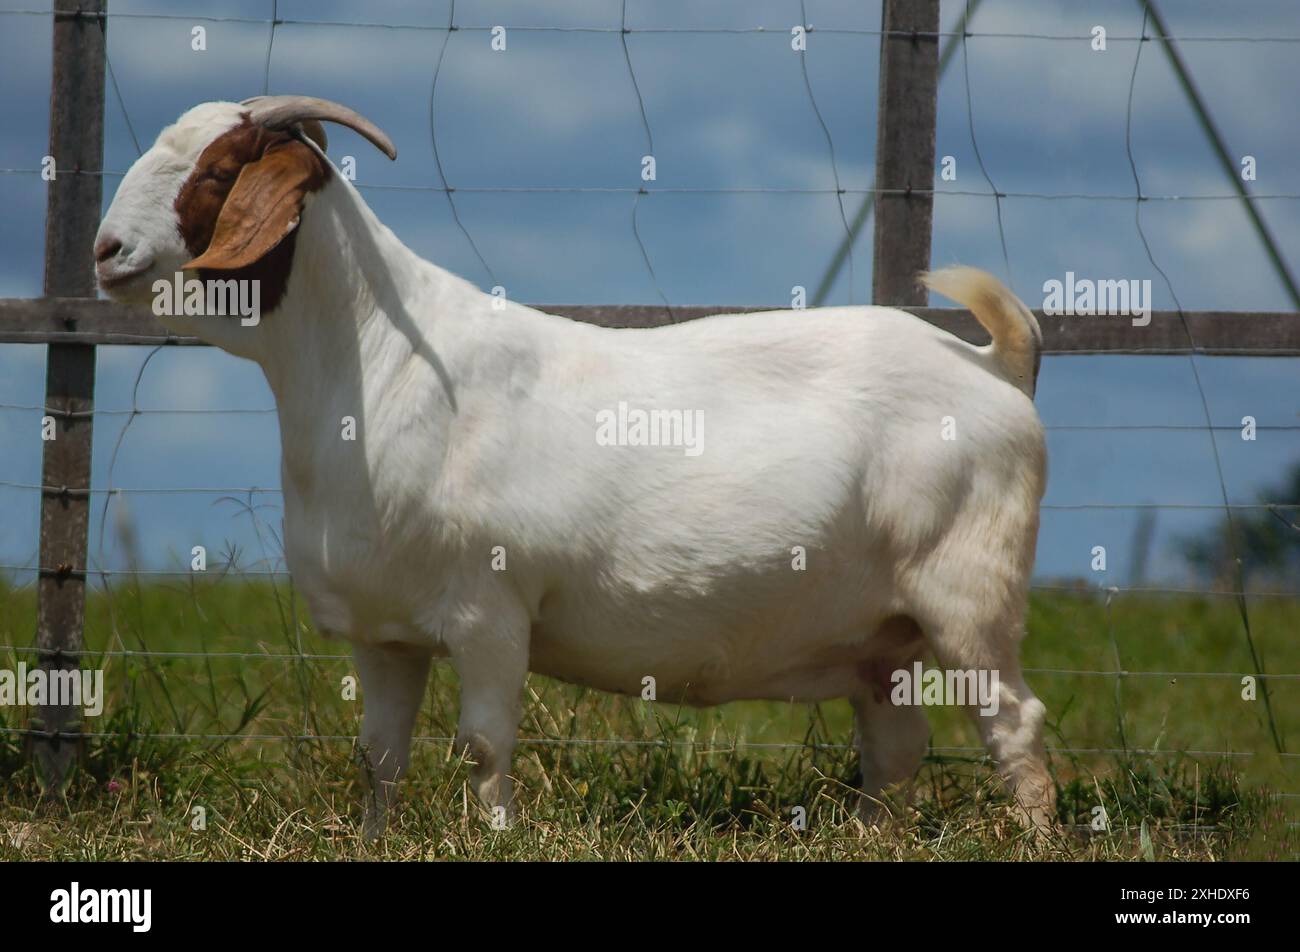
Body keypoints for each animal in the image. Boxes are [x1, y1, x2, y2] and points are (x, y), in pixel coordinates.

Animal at [94, 97, 1055, 835]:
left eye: (218, 171)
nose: (106, 252)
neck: (381, 362)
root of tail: (994, 363)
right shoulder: (384, 631)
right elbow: (379, 755)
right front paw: (374, 838)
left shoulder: (489, 609)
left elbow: (484, 745)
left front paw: (495, 838)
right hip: (879, 637)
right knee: (895, 746)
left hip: (968, 593)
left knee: (1014, 722)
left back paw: (1036, 835)